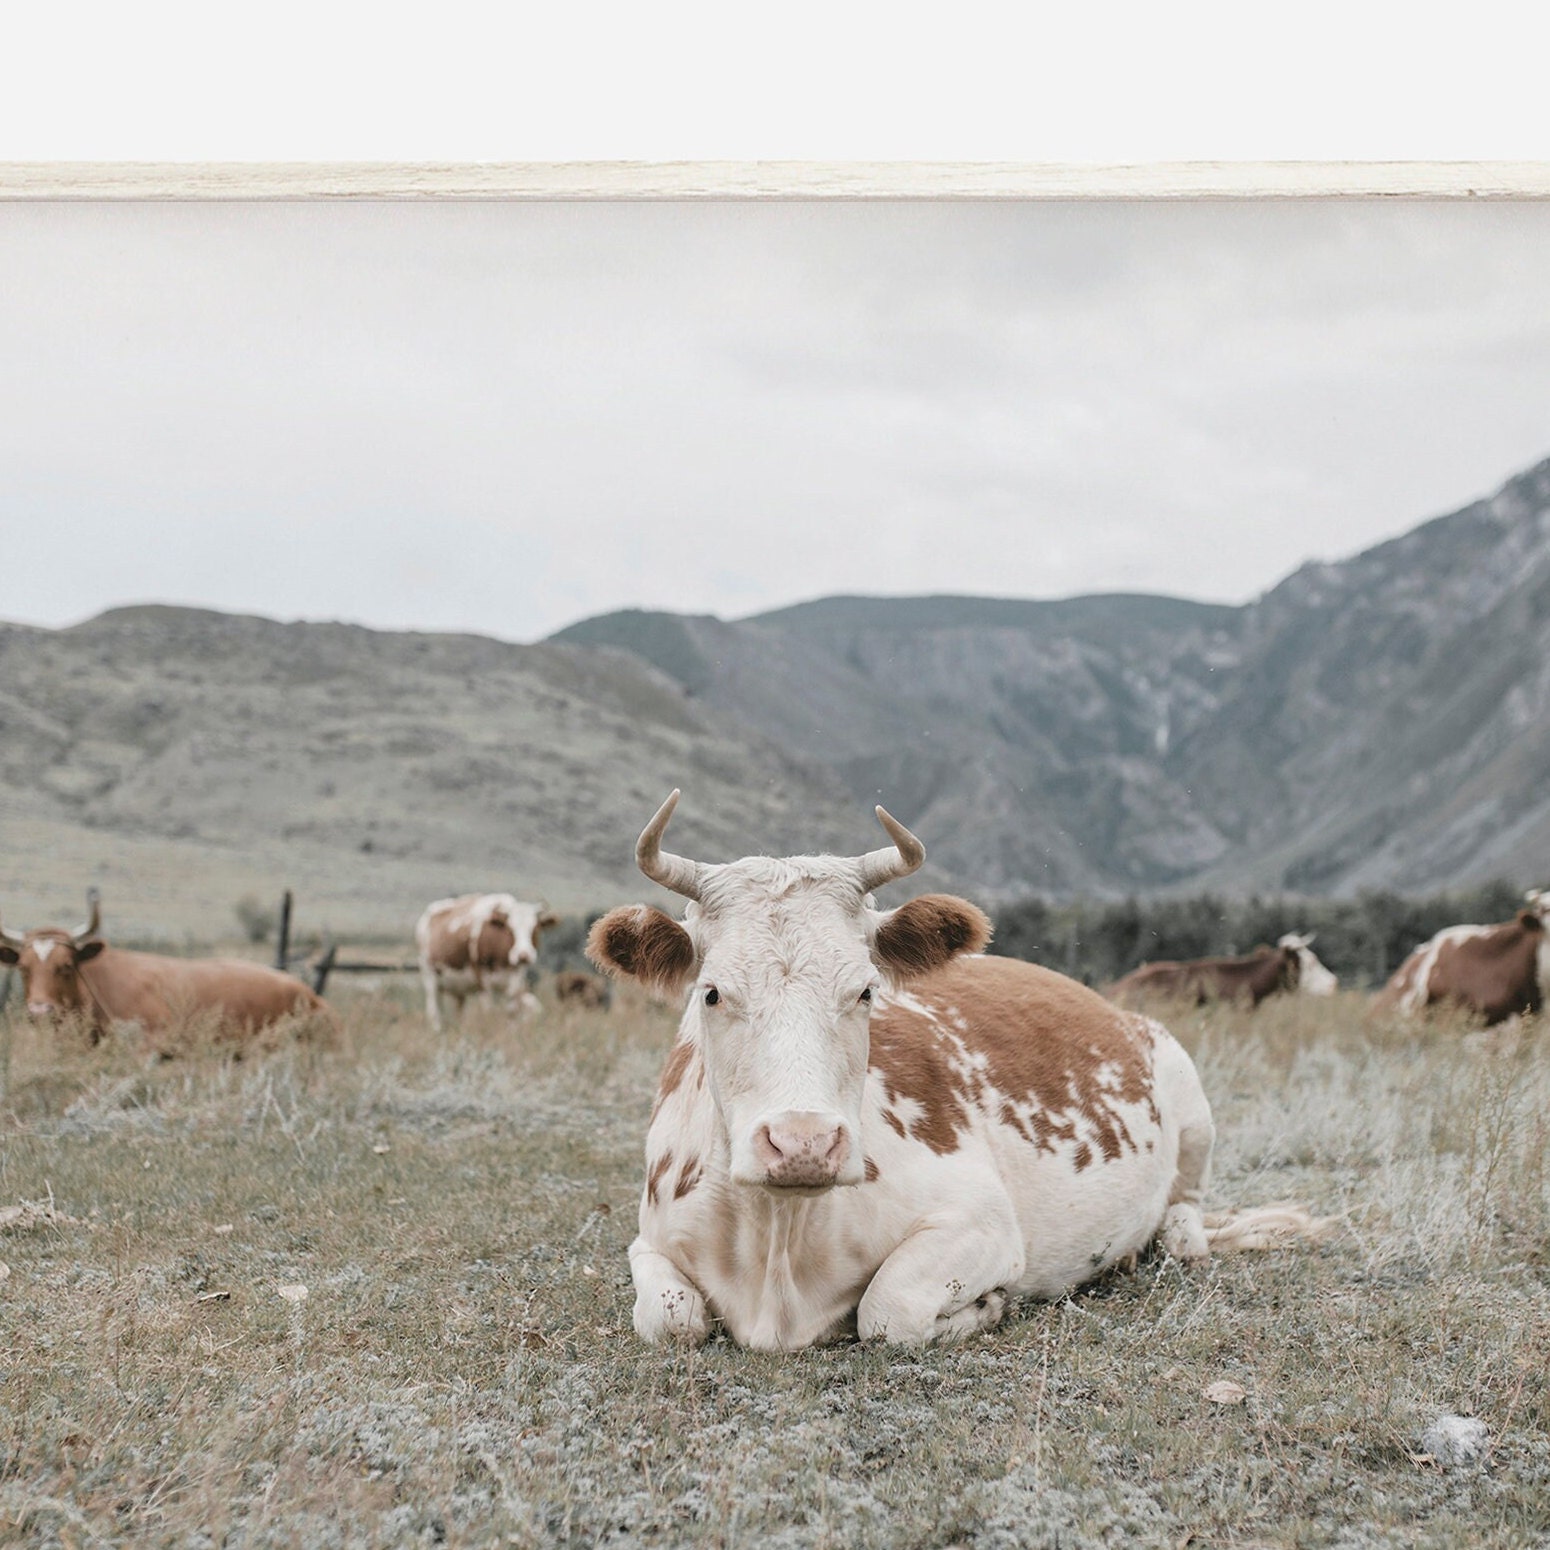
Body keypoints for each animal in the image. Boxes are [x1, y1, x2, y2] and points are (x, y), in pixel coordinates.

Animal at [414, 893, 558, 1031]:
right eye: (510, 930)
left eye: (535, 928)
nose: (523, 955)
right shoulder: (483, 980)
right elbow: (489, 1010)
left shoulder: (515, 979)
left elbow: (512, 1012)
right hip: (430, 977)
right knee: (434, 1012)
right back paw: (437, 1031)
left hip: (459, 988)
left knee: (459, 1012)